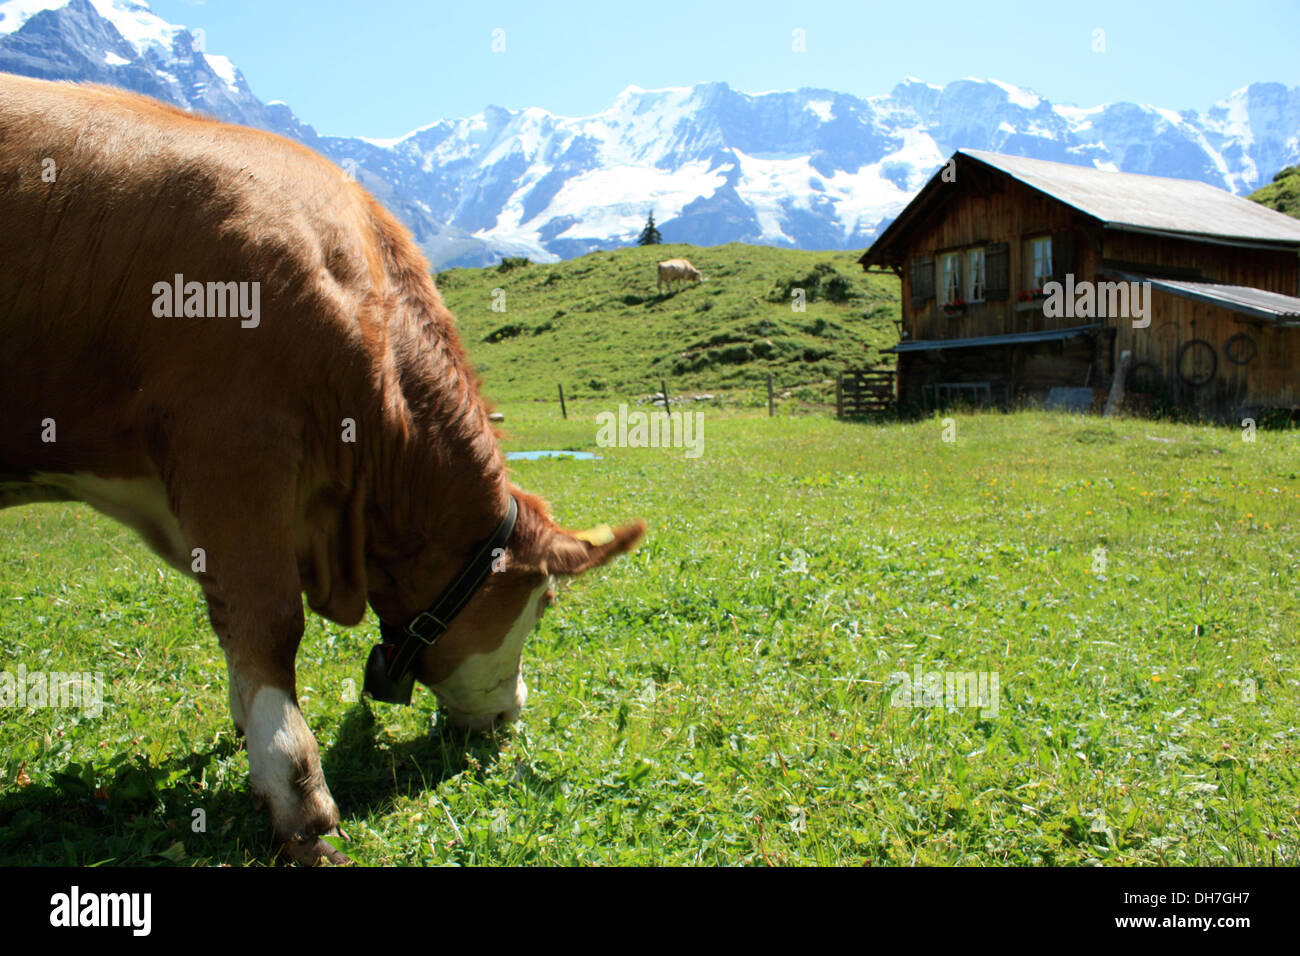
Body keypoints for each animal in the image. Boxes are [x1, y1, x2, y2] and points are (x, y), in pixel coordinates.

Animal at [0, 74, 645, 865]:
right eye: (544, 602)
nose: (510, 717)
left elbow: (233, 625)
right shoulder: (232, 445)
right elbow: (270, 625)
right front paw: (300, 801)